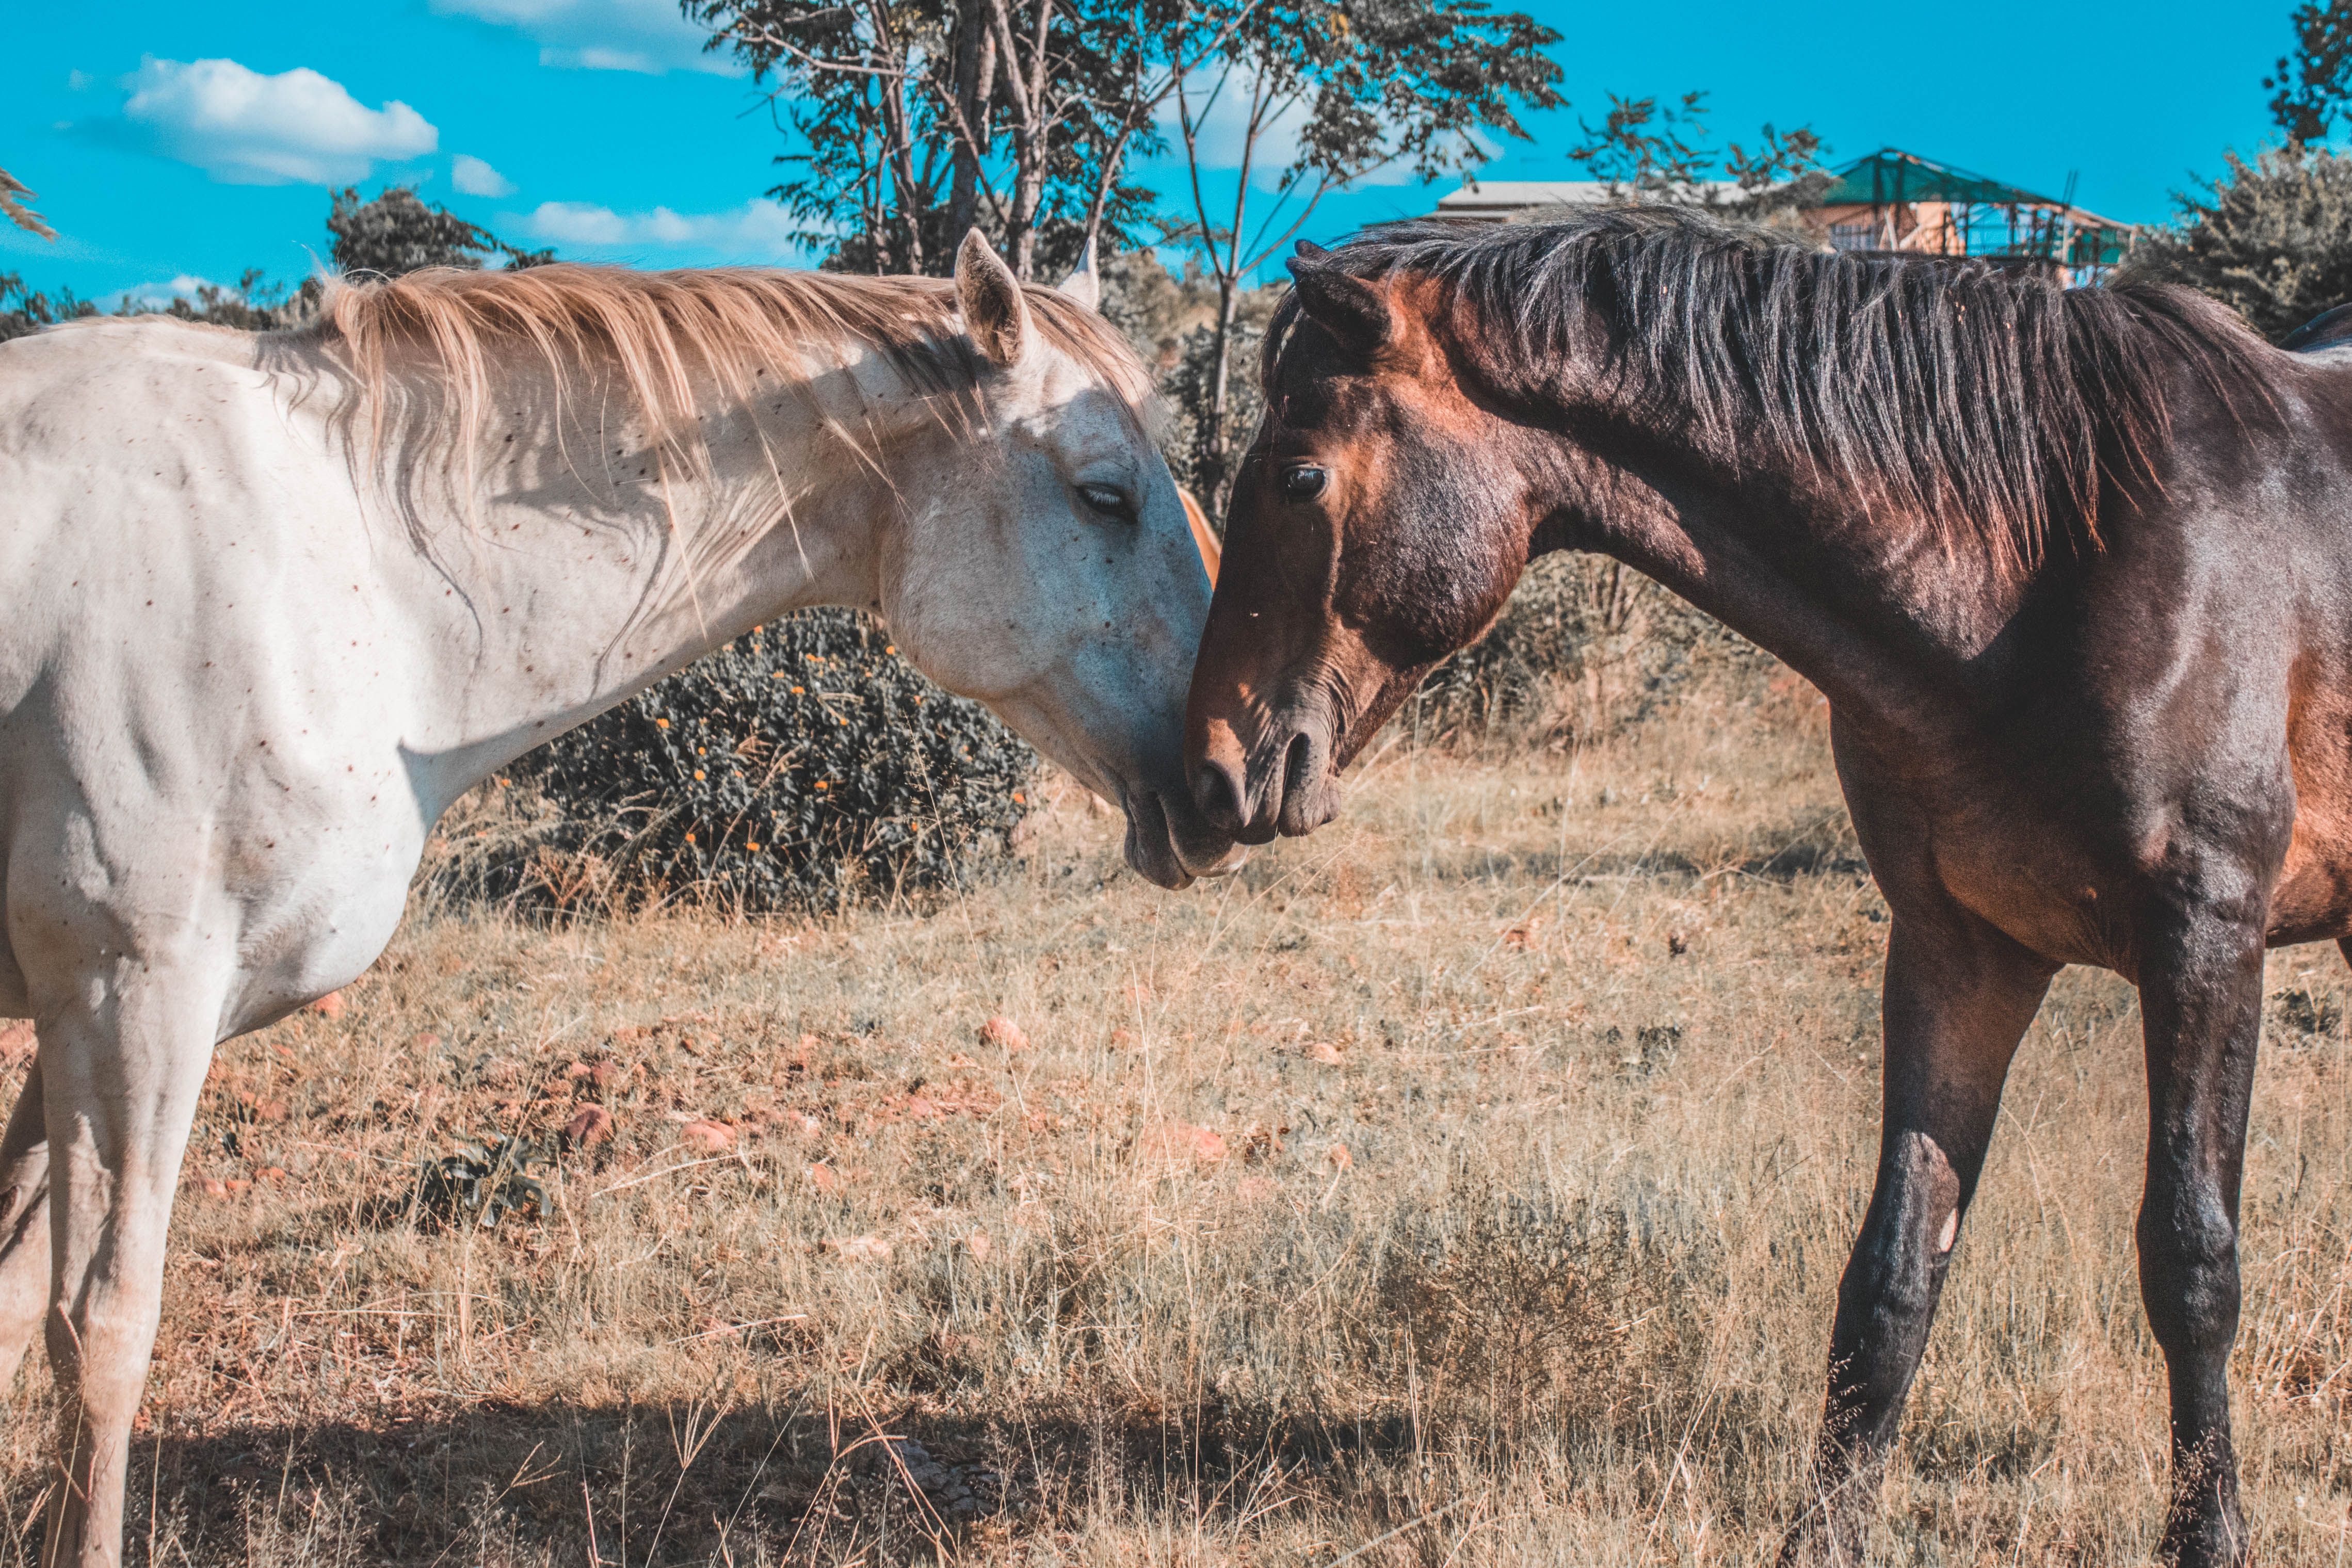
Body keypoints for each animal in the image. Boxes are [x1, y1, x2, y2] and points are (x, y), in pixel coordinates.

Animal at [0, 228, 1236, 1566]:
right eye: (1103, 493)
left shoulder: (81, 1017)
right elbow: (101, 1332)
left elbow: (16, 1304)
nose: (1230, 780)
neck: (344, 574)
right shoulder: (134, 995)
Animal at [1183, 206, 2339, 1566]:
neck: (2057, 554)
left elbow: (2189, 1260)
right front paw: (1822, 1533)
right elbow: (1893, 1270)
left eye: (1300, 476)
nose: (1209, 771)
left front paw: (2208, 1534)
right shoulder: (1958, 949)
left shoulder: (2204, 944)